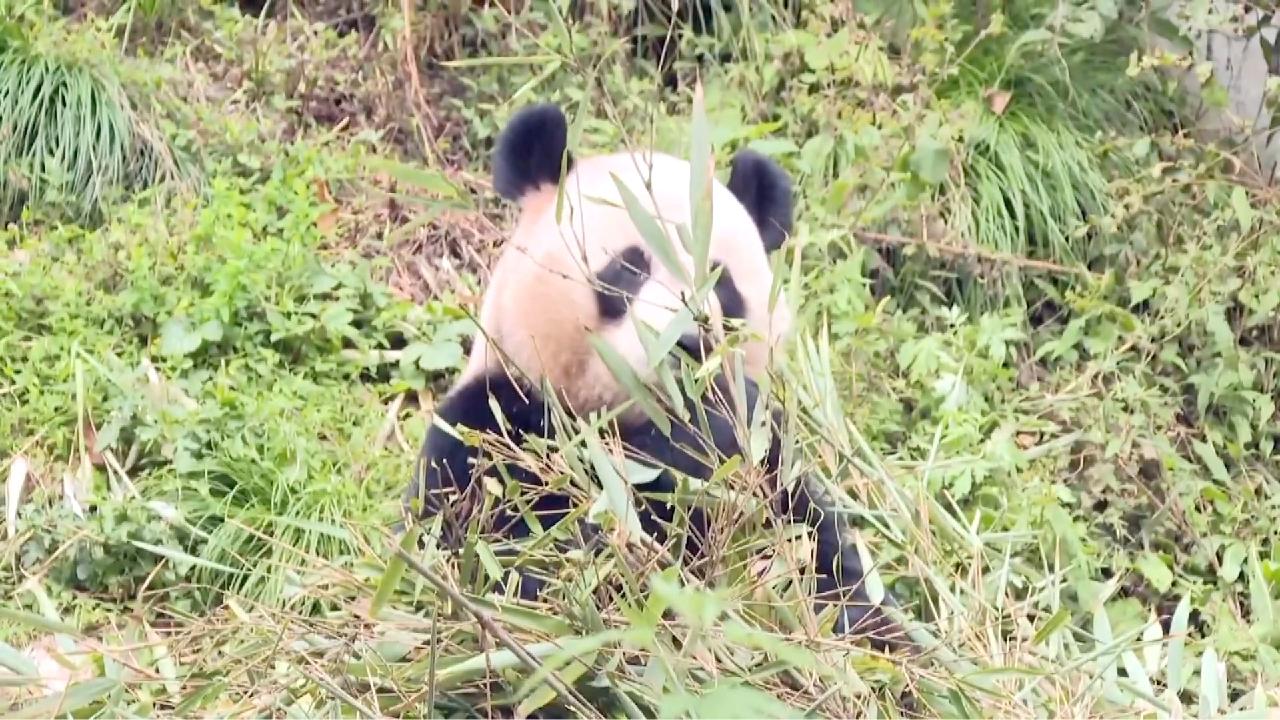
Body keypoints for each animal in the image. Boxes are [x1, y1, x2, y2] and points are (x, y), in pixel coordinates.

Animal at [403, 103, 908, 651]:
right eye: (630, 266)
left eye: (721, 282)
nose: (687, 343)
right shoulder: (497, 430)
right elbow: (534, 565)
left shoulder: (774, 464)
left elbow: (823, 558)